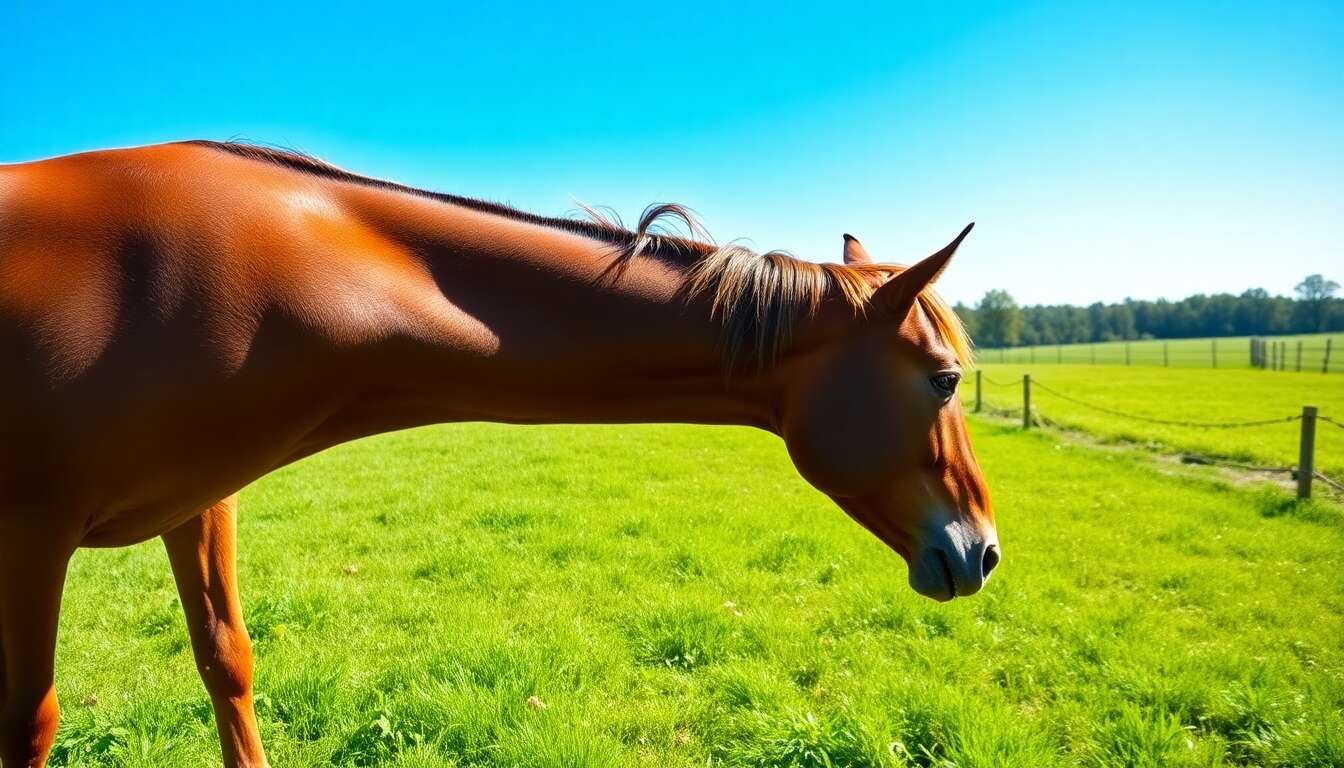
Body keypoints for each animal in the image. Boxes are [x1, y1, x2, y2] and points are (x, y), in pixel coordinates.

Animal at [0, 141, 997, 767]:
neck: (258, 262)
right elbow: (33, 722)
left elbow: (227, 666)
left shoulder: (201, 503)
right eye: (946, 379)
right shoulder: (31, 535)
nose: (981, 550)